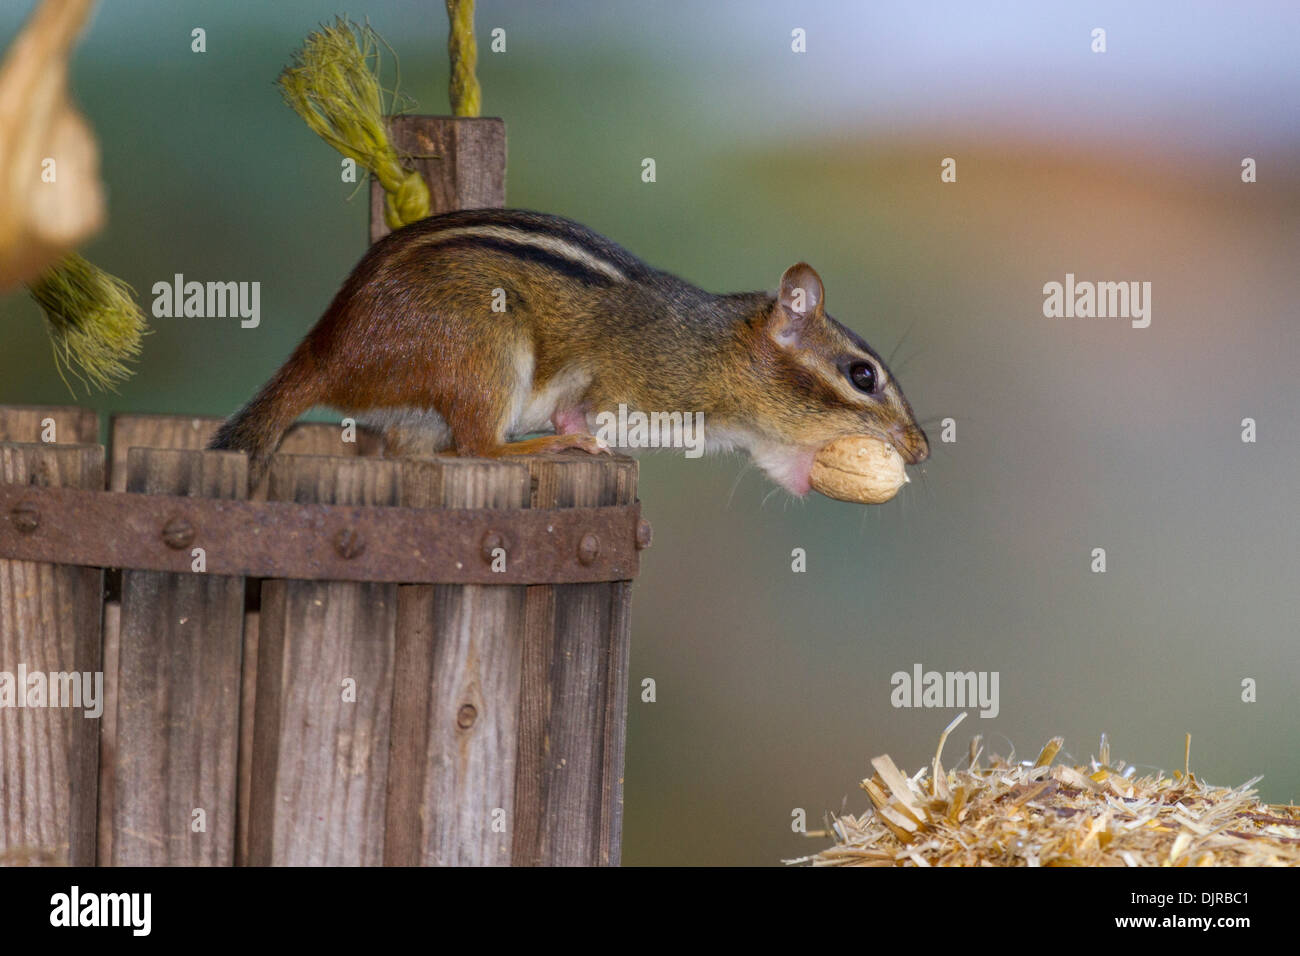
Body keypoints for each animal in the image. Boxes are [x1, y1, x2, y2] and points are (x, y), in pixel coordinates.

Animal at [209, 208, 929, 496]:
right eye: (862, 375)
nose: (921, 449)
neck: (717, 351)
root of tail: (328, 346)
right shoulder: (625, 381)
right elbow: (579, 402)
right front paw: (575, 431)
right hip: (485, 348)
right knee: (476, 447)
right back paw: (543, 446)